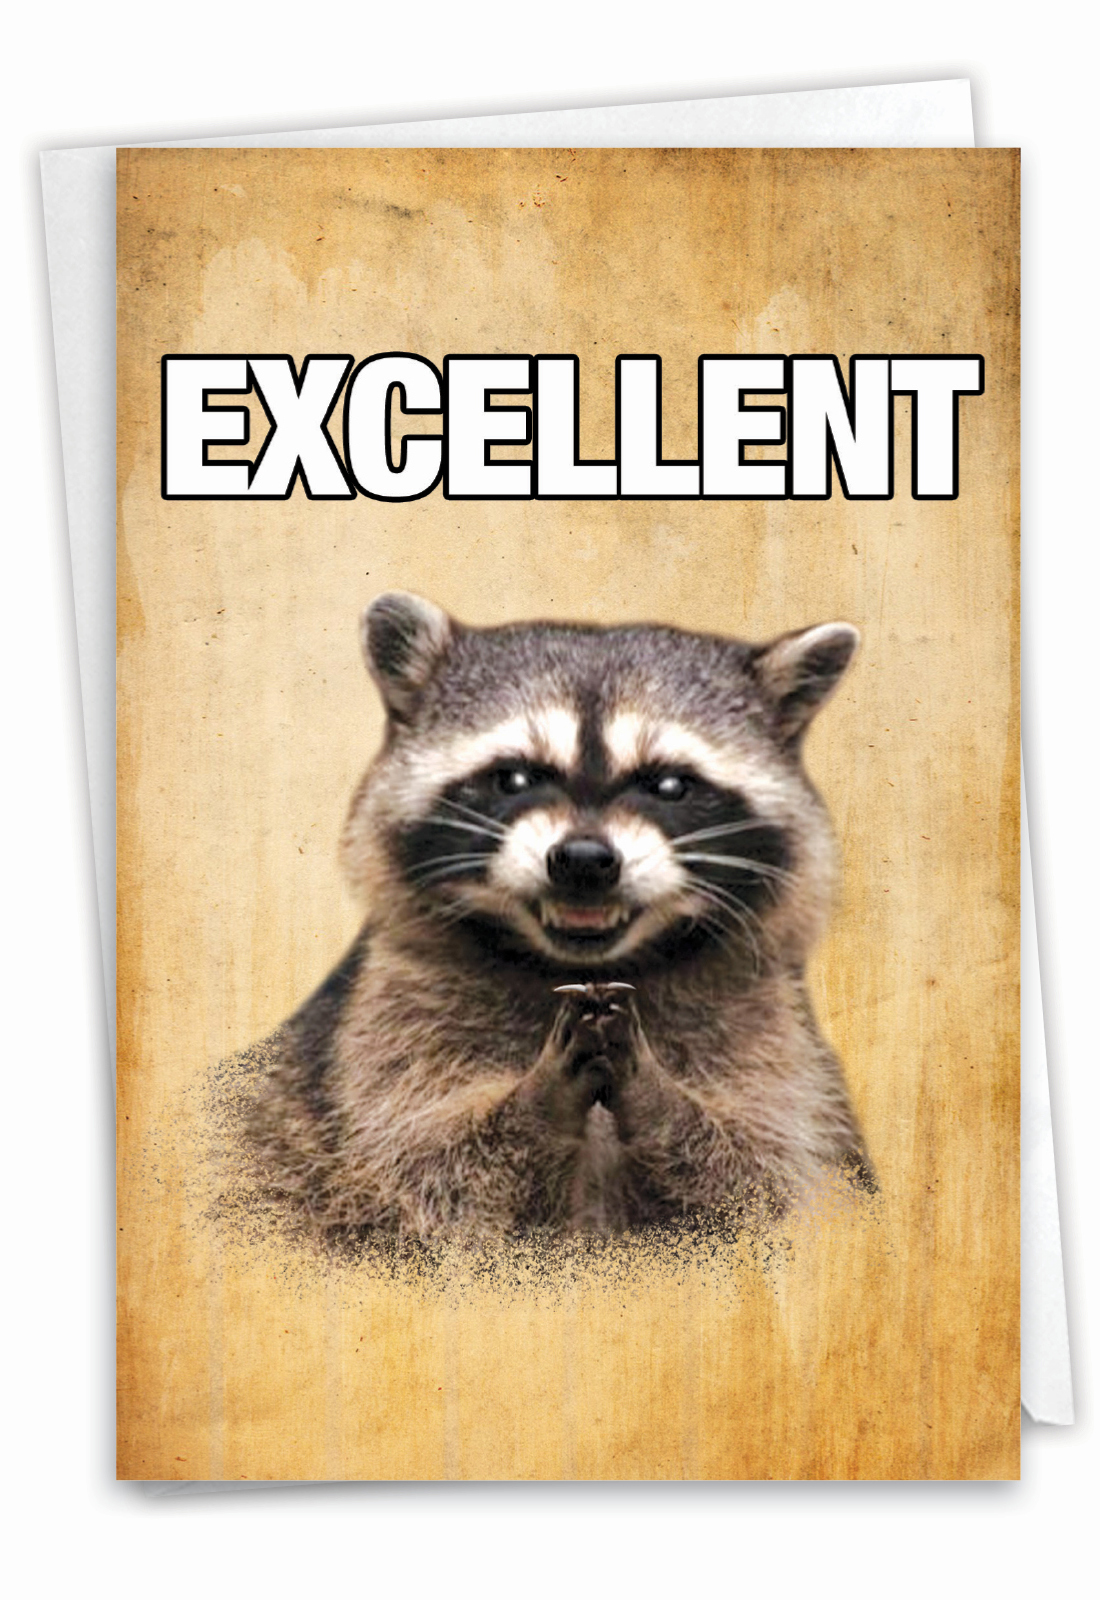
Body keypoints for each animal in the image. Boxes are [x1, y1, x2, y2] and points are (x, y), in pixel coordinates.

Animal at [244, 592, 873, 1243]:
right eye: (515, 777)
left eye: (669, 784)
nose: (585, 861)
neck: (584, 965)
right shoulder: (385, 1037)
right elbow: (431, 1182)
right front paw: (537, 1101)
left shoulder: (773, 1047)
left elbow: (758, 1183)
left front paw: (660, 1099)